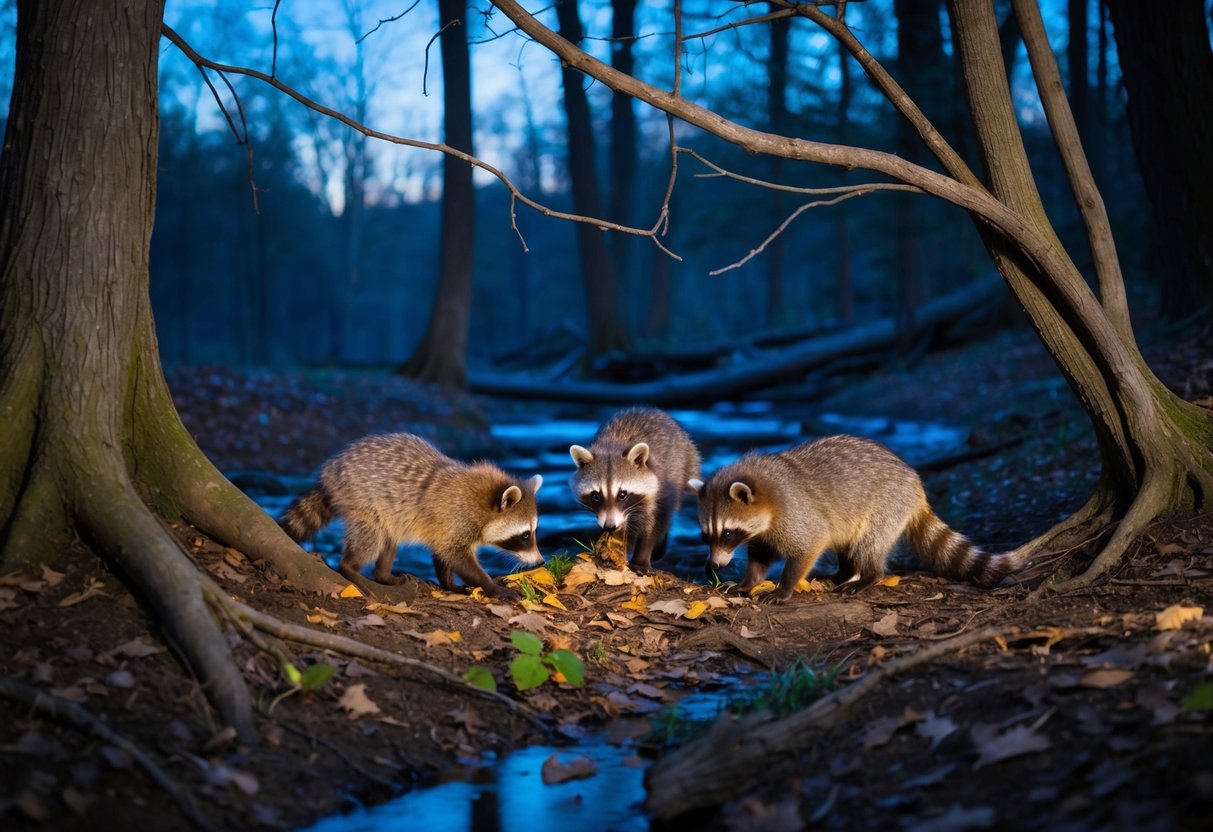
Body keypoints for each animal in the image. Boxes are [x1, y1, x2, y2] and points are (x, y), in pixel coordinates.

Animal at [279, 433, 543, 599]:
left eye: (534, 531)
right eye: (525, 535)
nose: (540, 562)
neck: (485, 502)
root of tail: (331, 471)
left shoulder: (449, 527)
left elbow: (443, 554)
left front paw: (449, 583)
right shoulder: (457, 517)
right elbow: (455, 555)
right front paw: (488, 585)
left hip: (388, 512)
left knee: (389, 538)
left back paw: (382, 574)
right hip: (362, 497)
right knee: (371, 536)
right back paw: (351, 568)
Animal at [569, 407, 701, 573]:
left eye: (622, 494)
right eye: (596, 496)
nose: (609, 526)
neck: (612, 445)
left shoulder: (661, 492)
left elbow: (654, 526)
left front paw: (641, 558)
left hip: (685, 464)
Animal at [690, 435, 1025, 603]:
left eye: (728, 533)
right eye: (707, 536)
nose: (714, 565)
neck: (766, 489)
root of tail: (915, 482)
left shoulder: (795, 511)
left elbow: (810, 543)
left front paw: (784, 586)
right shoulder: (763, 529)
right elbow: (761, 555)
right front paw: (749, 581)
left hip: (889, 502)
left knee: (869, 542)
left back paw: (868, 574)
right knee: (848, 542)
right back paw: (844, 572)